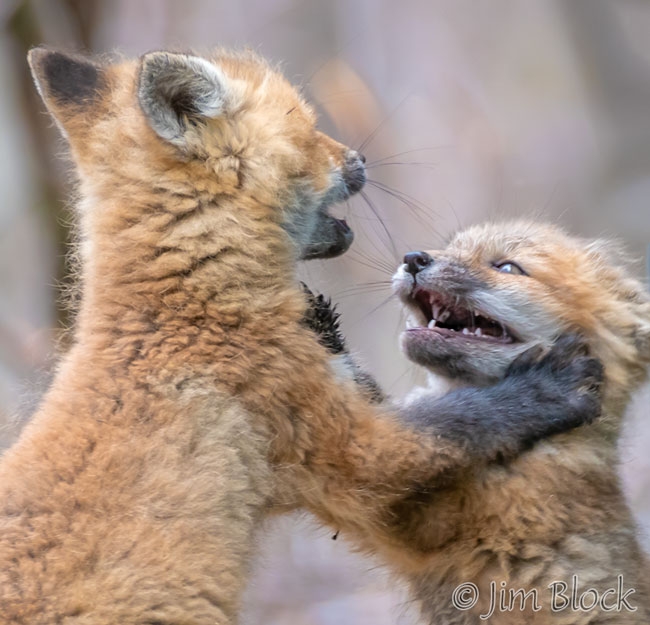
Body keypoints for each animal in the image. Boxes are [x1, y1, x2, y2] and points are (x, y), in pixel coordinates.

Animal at [0, 48, 601, 624]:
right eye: (310, 129)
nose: (360, 157)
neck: (182, 307)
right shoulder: (343, 442)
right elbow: (462, 421)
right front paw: (550, 388)